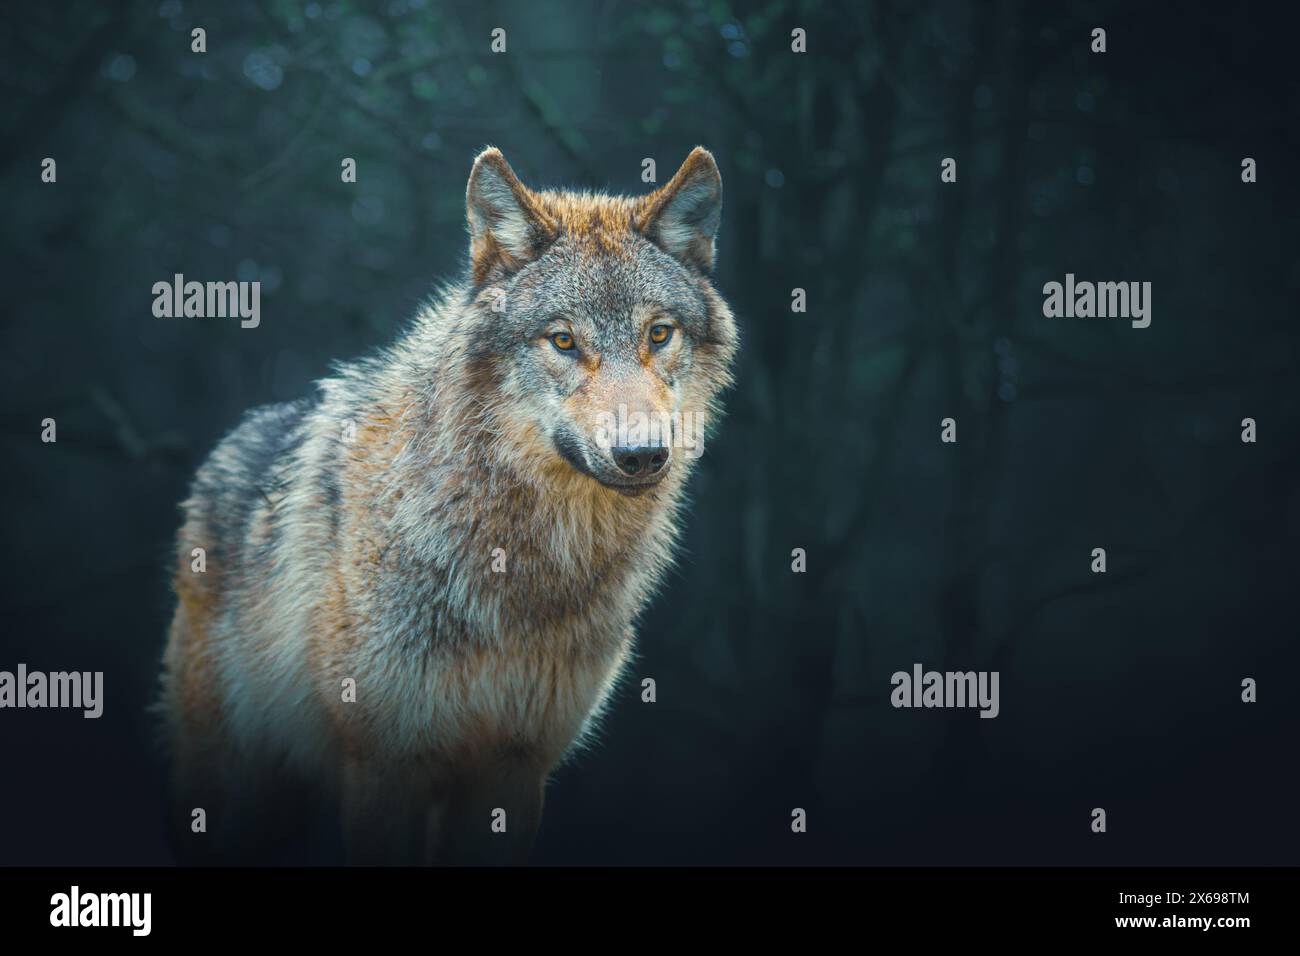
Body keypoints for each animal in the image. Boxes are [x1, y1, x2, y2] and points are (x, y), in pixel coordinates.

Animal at [157, 147, 738, 865]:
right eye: (563, 341)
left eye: (659, 333)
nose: (641, 454)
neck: (523, 567)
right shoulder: (385, 761)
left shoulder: (514, 766)